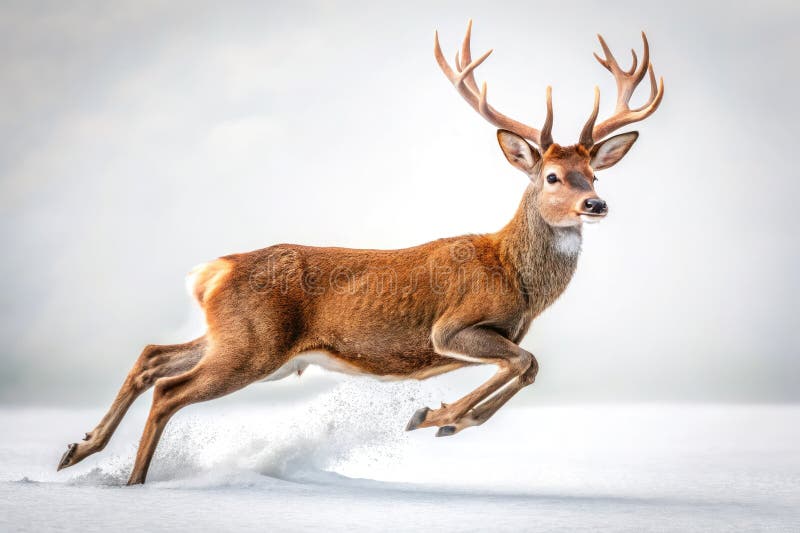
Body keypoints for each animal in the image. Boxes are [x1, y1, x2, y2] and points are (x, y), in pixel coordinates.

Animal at [56, 20, 663, 485]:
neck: (516, 276)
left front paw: (441, 418)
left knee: (153, 356)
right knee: (169, 389)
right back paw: (133, 483)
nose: (596, 204)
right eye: (553, 176)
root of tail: (212, 271)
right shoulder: (451, 328)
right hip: (254, 346)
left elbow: (528, 365)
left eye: (595, 172)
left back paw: (78, 450)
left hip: (240, 339)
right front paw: (433, 415)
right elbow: (526, 362)